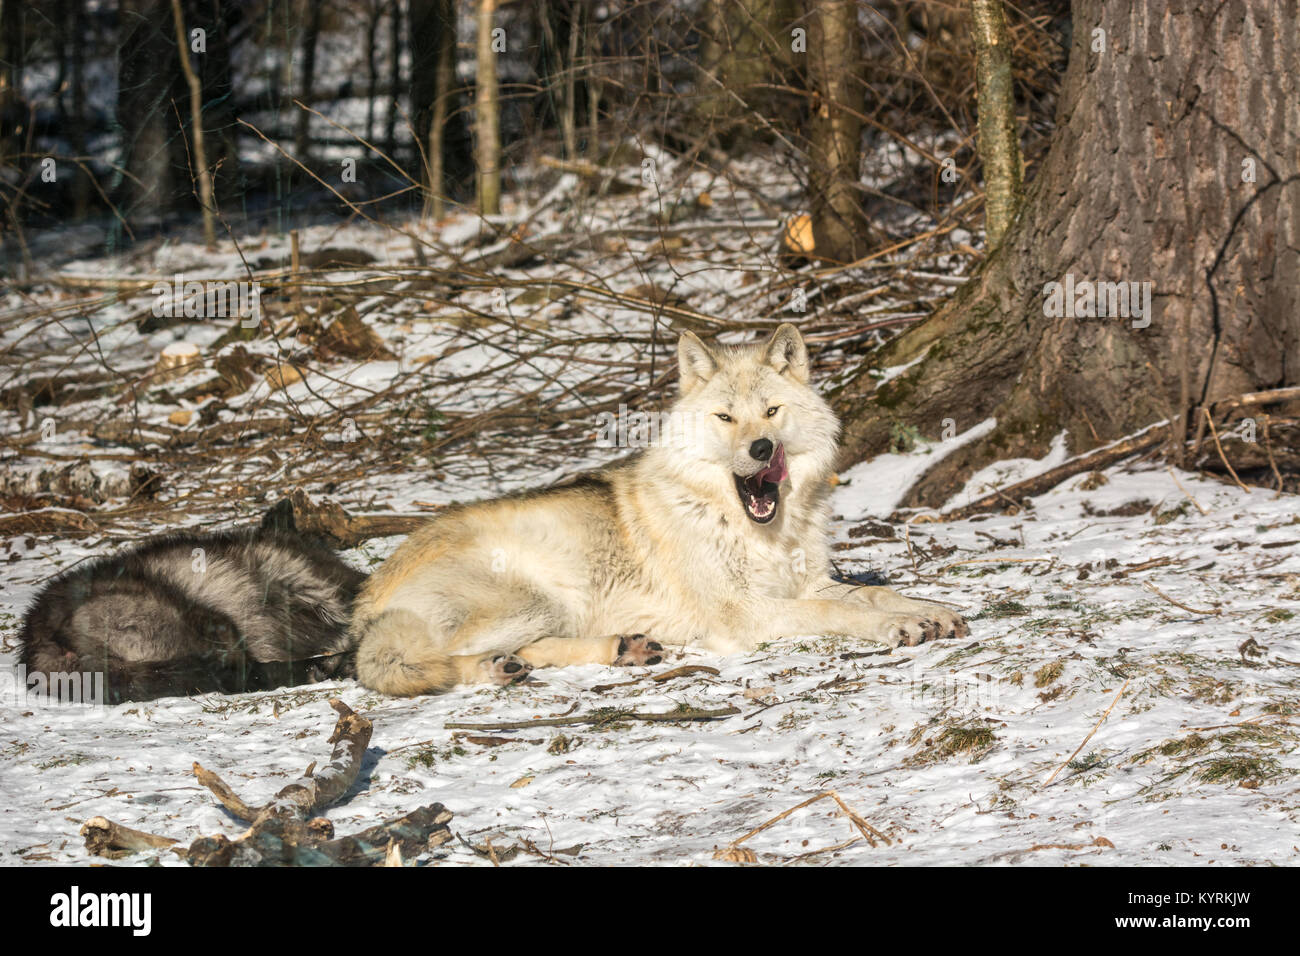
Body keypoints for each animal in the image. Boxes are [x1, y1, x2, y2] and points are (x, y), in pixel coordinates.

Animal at [352, 324, 968, 695]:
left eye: (771, 411)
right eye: (726, 418)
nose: (761, 448)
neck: (756, 529)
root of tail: (370, 589)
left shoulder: (805, 582)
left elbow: (871, 593)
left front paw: (930, 609)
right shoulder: (741, 613)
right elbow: (835, 612)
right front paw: (896, 625)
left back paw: (619, 648)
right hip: (532, 601)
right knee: (391, 663)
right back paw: (490, 668)